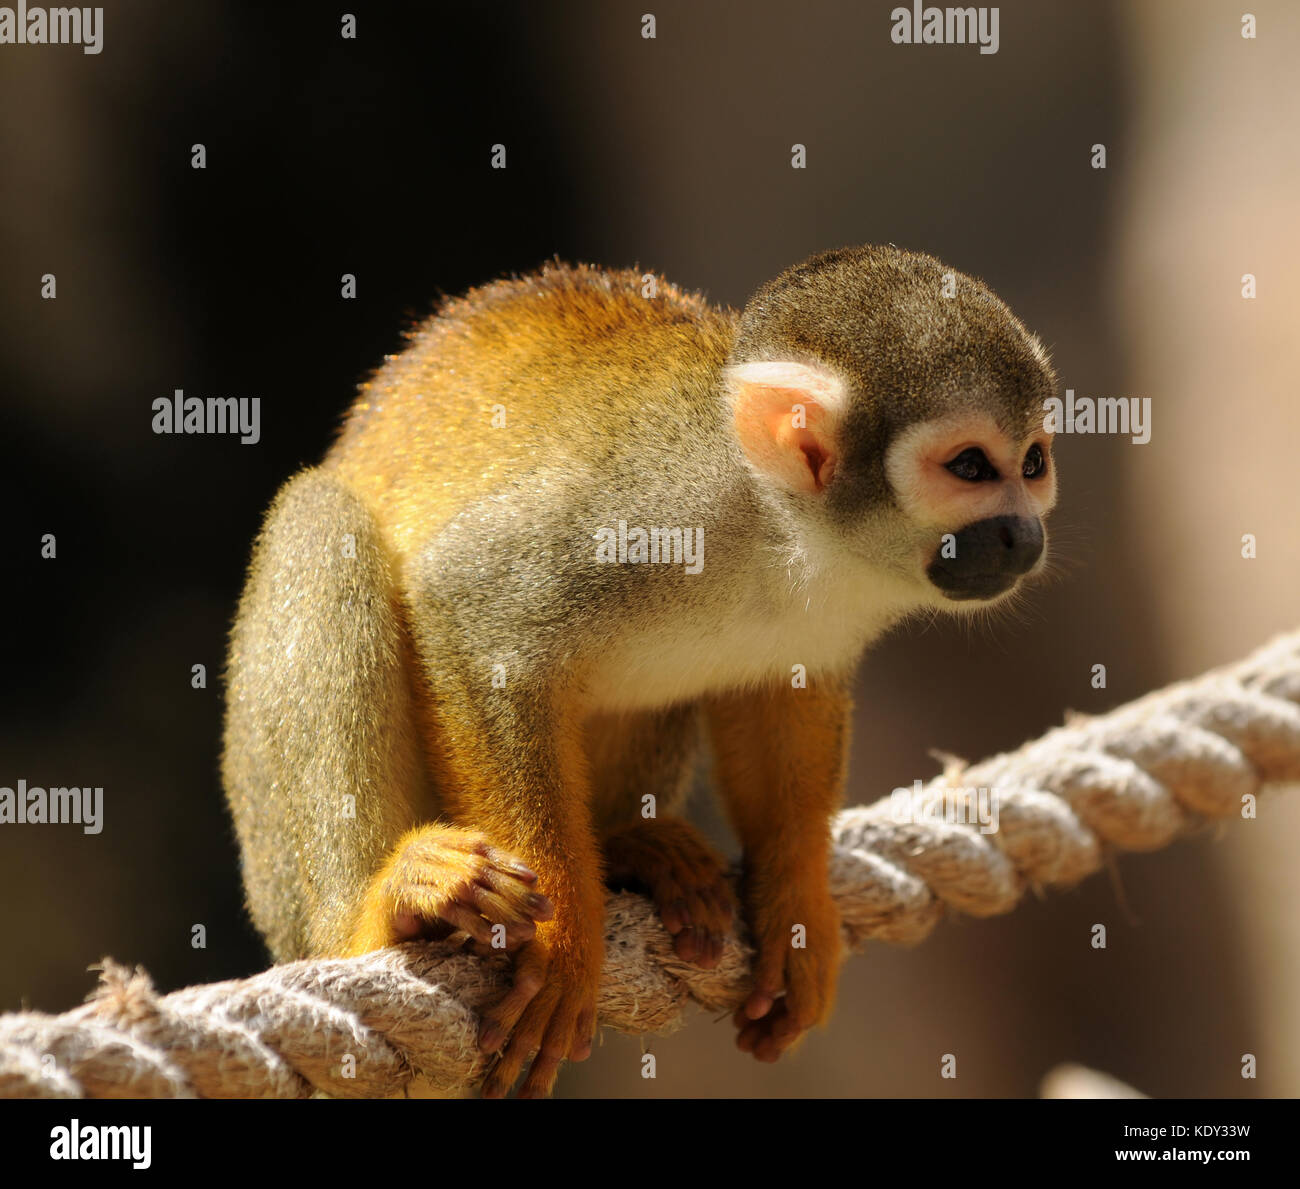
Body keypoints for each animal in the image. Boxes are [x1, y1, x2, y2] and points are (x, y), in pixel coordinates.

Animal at [222, 244, 1059, 1098]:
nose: (1025, 535)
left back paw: (629, 846)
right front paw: (561, 935)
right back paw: (383, 911)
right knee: (323, 525)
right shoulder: (650, 512)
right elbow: (467, 606)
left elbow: (784, 696)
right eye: (970, 466)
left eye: (1033, 462)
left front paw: (797, 913)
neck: (780, 528)